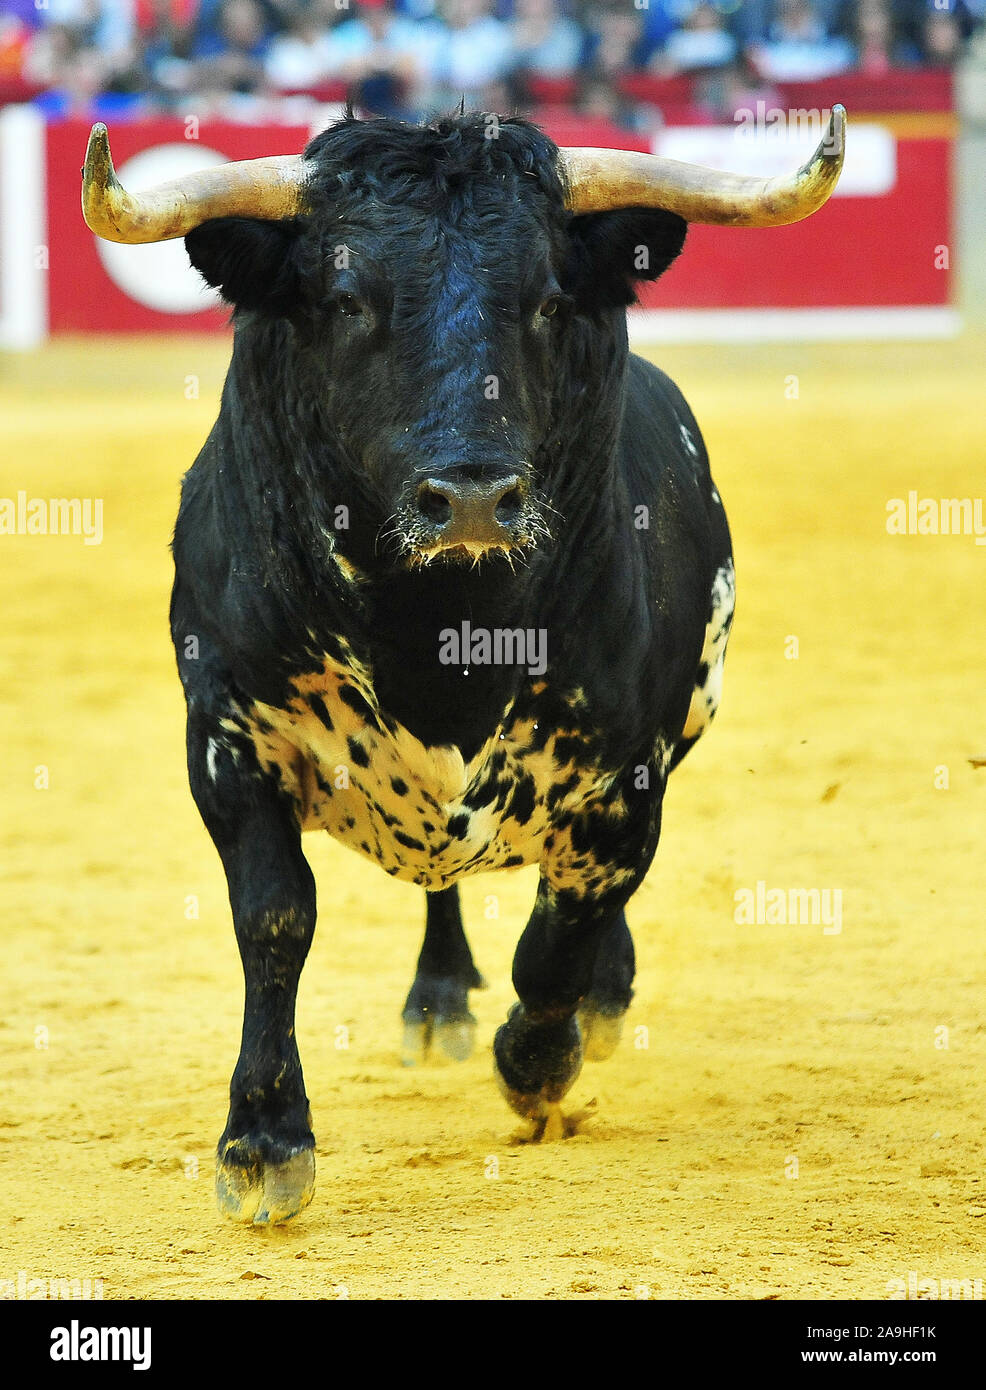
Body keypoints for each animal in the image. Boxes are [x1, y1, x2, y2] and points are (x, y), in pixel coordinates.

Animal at [83, 107, 845, 1225]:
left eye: (548, 300)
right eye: (346, 299)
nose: (475, 498)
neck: (438, 635)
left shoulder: (627, 775)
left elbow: (562, 936)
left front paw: (536, 1066)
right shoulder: (226, 742)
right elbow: (274, 918)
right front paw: (262, 1139)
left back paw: (593, 1008)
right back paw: (437, 998)